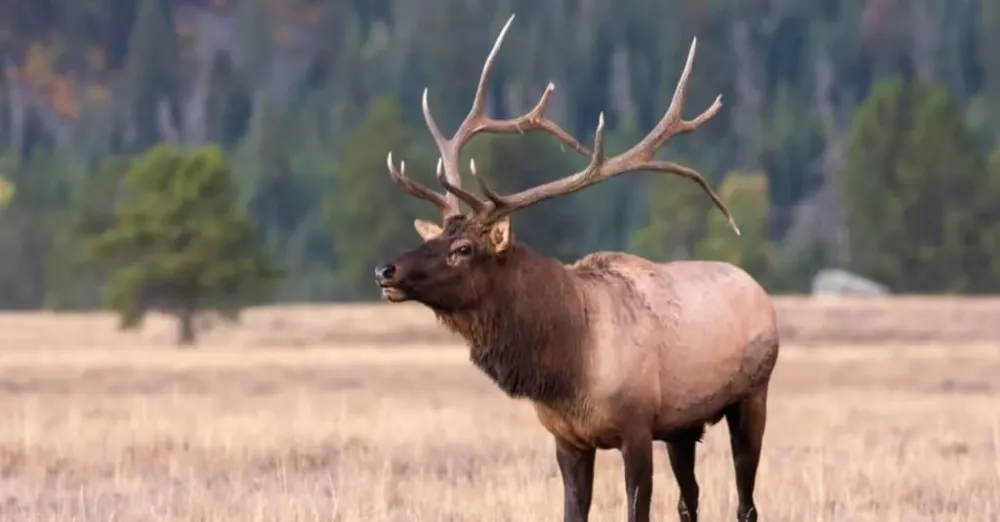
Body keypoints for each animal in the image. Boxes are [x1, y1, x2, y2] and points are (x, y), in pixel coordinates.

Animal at [374, 14, 779, 522]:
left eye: (463, 248)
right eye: (434, 238)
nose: (385, 270)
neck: (567, 368)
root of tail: (760, 292)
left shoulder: (636, 426)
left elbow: (638, 509)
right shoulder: (567, 439)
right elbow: (573, 511)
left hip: (752, 394)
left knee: (747, 502)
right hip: (683, 427)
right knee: (690, 500)